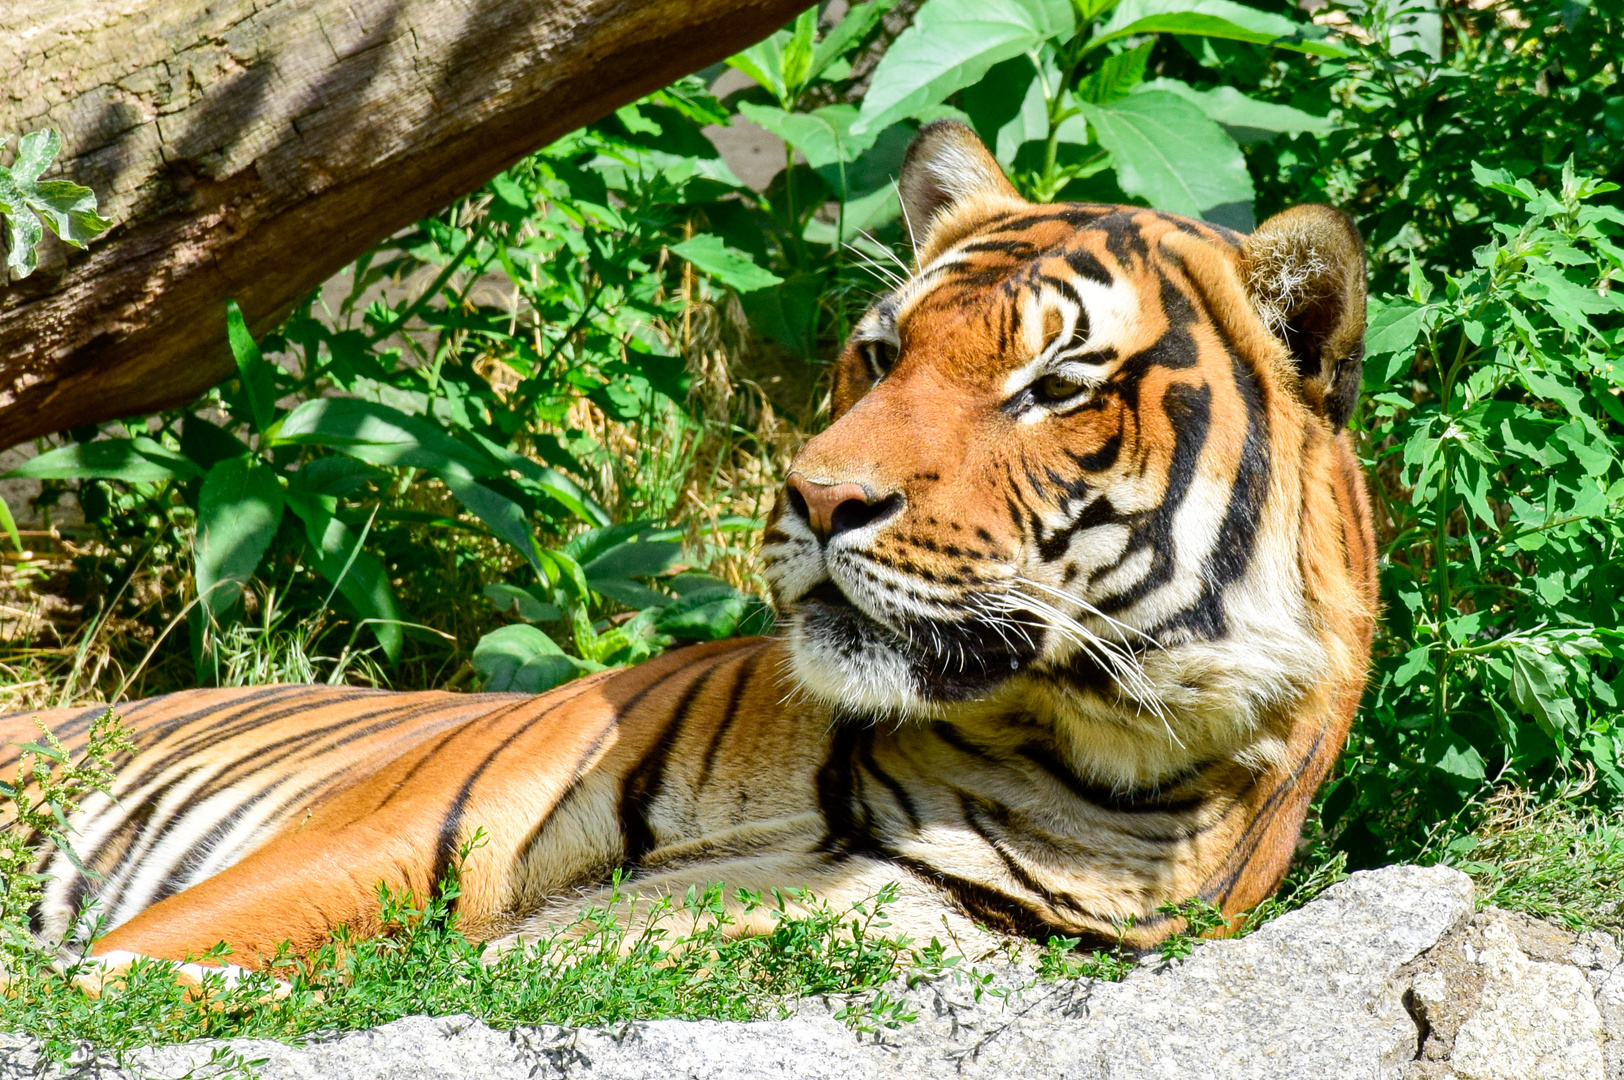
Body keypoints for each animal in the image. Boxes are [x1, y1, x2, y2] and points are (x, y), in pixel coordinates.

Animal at [1, 120, 1376, 975]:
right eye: (882, 354)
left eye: (1052, 388)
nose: (817, 498)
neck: (1087, 771)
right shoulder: (423, 833)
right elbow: (156, 957)